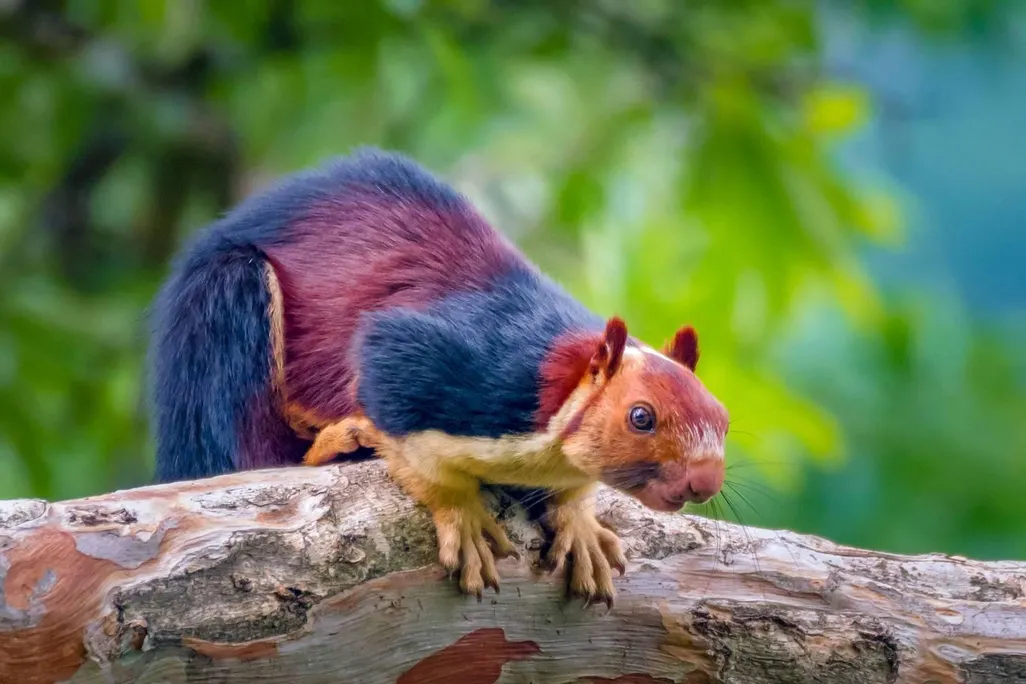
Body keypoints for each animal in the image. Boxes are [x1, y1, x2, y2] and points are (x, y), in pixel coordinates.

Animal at [148, 148, 728, 606]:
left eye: (723, 418)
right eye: (640, 417)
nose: (705, 481)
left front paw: (579, 522)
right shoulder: (447, 364)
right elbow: (409, 429)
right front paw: (461, 514)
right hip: (226, 310)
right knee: (244, 455)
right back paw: (339, 443)